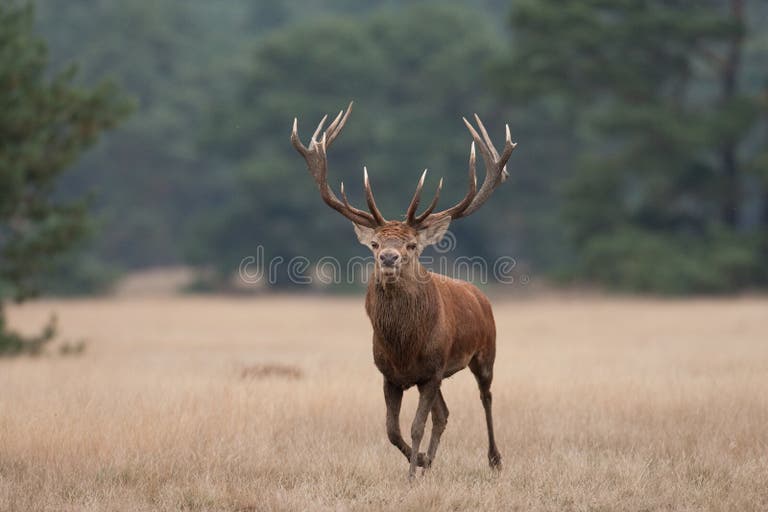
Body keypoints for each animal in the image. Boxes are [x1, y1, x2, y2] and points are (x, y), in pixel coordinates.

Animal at [291, 102, 516, 480]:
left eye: (411, 244)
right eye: (375, 243)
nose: (389, 257)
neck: (404, 347)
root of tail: (481, 296)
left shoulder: (432, 369)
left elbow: (415, 426)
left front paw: (412, 474)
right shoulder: (390, 375)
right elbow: (392, 429)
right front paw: (421, 461)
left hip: (487, 351)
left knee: (486, 397)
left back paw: (495, 459)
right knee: (444, 414)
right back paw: (431, 464)